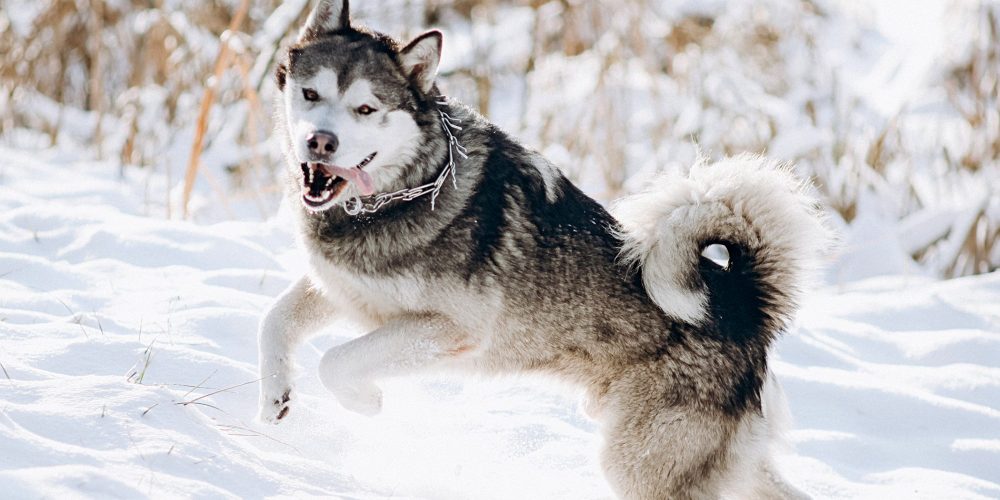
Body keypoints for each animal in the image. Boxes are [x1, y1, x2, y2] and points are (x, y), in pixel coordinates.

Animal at [258, 1, 826, 498]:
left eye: (365, 108)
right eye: (310, 94)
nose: (320, 143)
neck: (403, 190)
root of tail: (741, 303)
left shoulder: (449, 329)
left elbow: (337, 361)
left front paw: (366, 401)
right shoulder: (340, 290)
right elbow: (274, 320)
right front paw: (274, 398)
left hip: (642, 464)